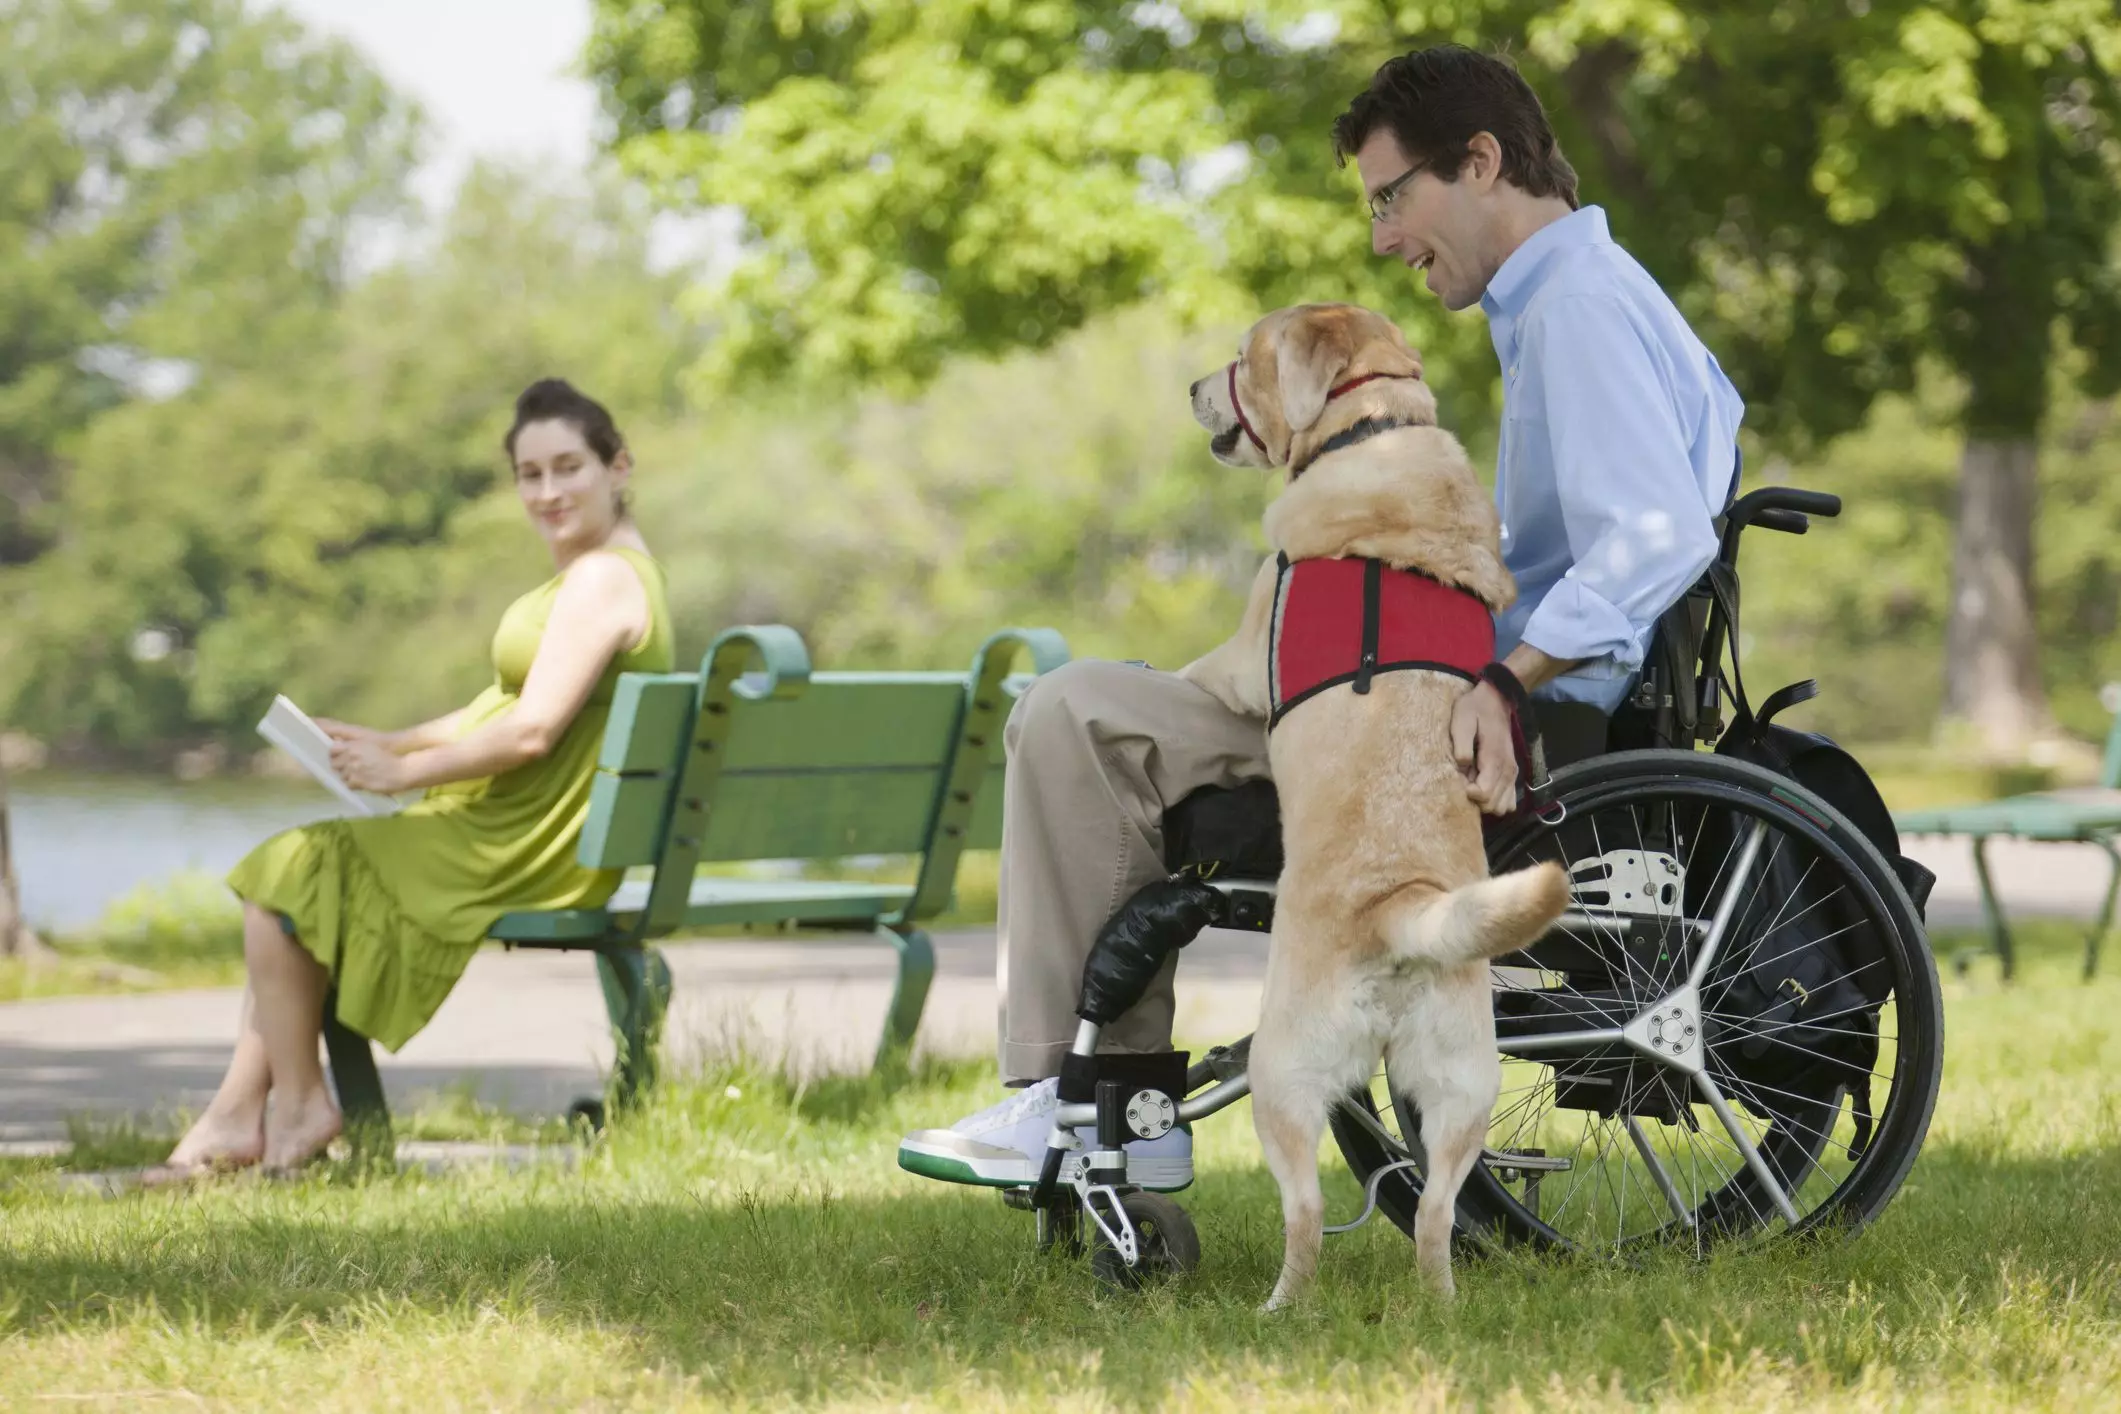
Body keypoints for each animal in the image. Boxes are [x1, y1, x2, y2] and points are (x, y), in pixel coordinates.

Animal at [1179, 305, 1578, 1314]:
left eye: (1242, 358)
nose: (1192, 387)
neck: (1371, 426)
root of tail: (1404, 907)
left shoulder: (1243, 651)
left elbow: (1195, 671)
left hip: (1282, 1076)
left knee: (1306, 1215)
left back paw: (1278, 1310)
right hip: (1461, 1089)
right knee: (1437, 1214)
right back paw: (1439, 1307)